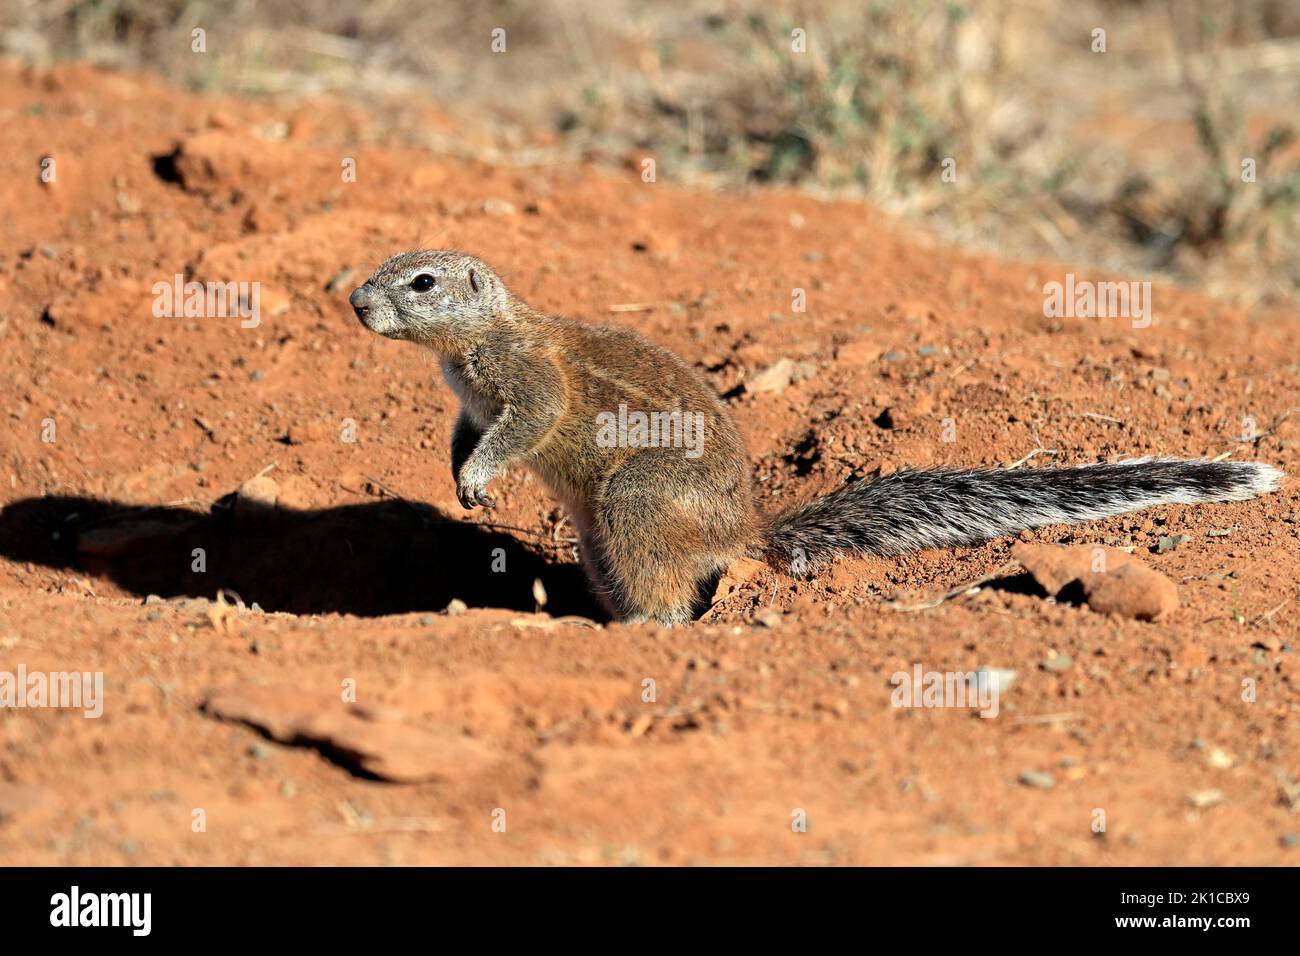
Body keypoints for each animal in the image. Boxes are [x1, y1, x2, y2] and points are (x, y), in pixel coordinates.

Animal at [350, 250, 1285, 626]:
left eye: (422, 281)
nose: (356, 301)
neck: (473, 343)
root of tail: (744, 530)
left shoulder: (530, 384)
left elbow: (528, 422)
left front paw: (480, 479)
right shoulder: (468, 404)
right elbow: (465, 432)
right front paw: (458, 473)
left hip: (633, 500)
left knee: (667, 591)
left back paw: (649, 629)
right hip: (594, 536)